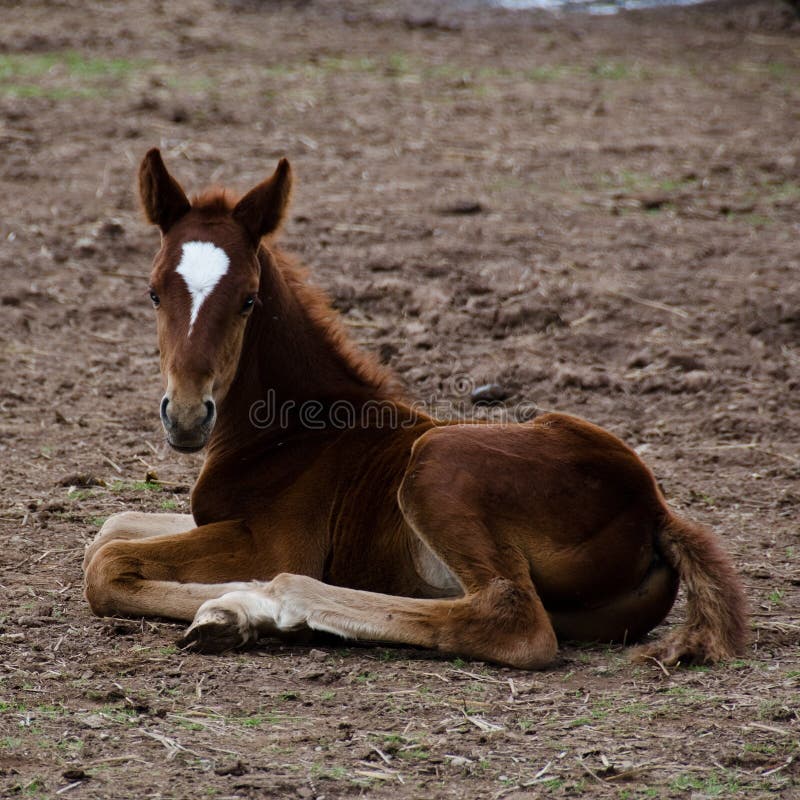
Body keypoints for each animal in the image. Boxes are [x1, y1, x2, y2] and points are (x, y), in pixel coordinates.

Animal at [83, 149, 747, 669]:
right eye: (152, 292)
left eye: (247, 299)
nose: (187, 416)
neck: (292, 431)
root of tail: (654, 508)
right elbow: (111, 527)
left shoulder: (271, 540)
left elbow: (106, 564)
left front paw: (234, 601)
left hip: (437, 460)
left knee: (512, 619)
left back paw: (257, 603)